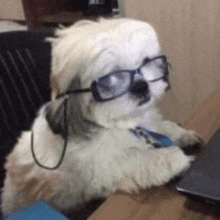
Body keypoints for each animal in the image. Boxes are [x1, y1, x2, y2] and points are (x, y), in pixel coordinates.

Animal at [0, 17, 202, 217]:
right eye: (111, 78)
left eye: (146, 61)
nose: (141, 86)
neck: (121, 123)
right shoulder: (106, 168)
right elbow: (142, 158)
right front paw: (179, 158)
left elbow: (162, 127)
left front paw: (182, 134)